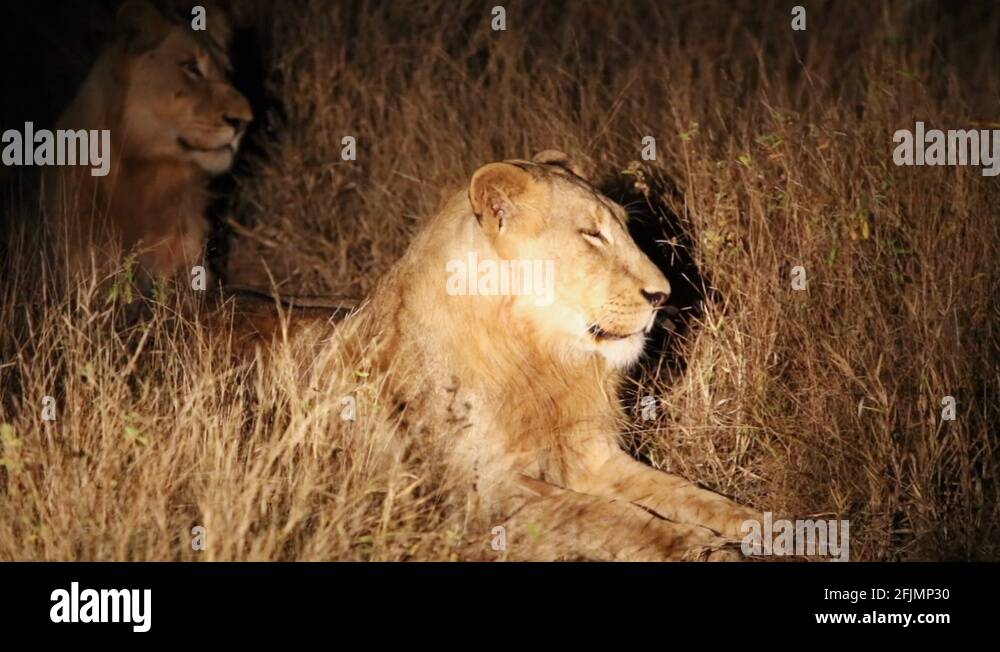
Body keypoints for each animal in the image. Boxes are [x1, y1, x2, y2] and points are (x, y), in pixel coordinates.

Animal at [257, 151, 764, 561]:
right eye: (591, 235)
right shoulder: (479, 491)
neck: (542, 358)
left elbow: (684, 492)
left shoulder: (590, 454)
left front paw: (763, 525)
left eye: (623, 226)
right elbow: (600, 515)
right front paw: (701, 548)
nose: (663, 295)